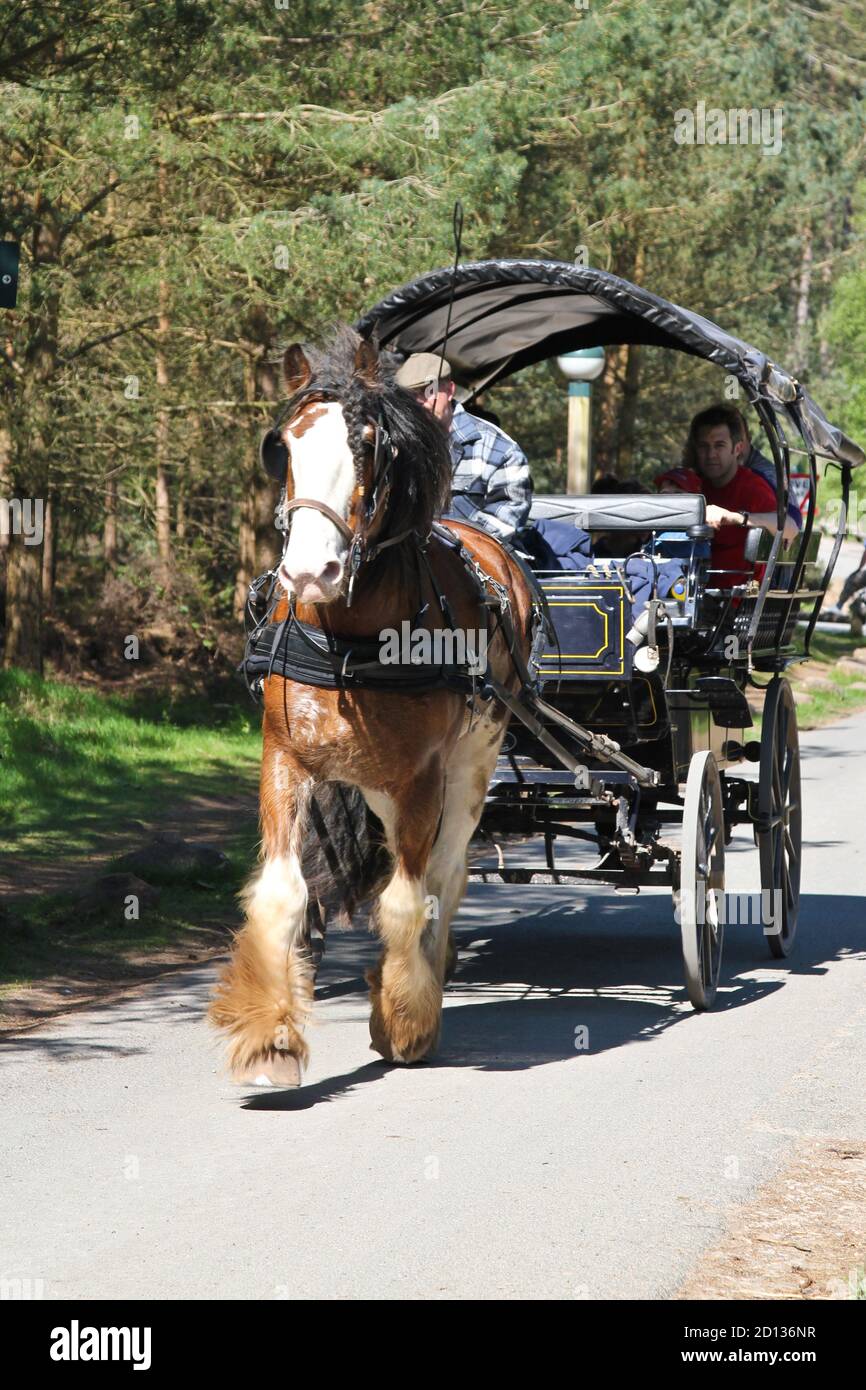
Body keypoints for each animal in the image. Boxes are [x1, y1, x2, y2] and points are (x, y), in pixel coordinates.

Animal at [209, 326, 535, 1085]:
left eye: (368, 445)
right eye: (283, 446)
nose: (309, 572)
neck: (349, 640)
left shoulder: (421, 775)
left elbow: (406, 898)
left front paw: (405, 1020)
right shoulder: (283, 759)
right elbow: (284, 892)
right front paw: (270, 1037)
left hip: (470, 765)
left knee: (445, 872)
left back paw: (427, 978)